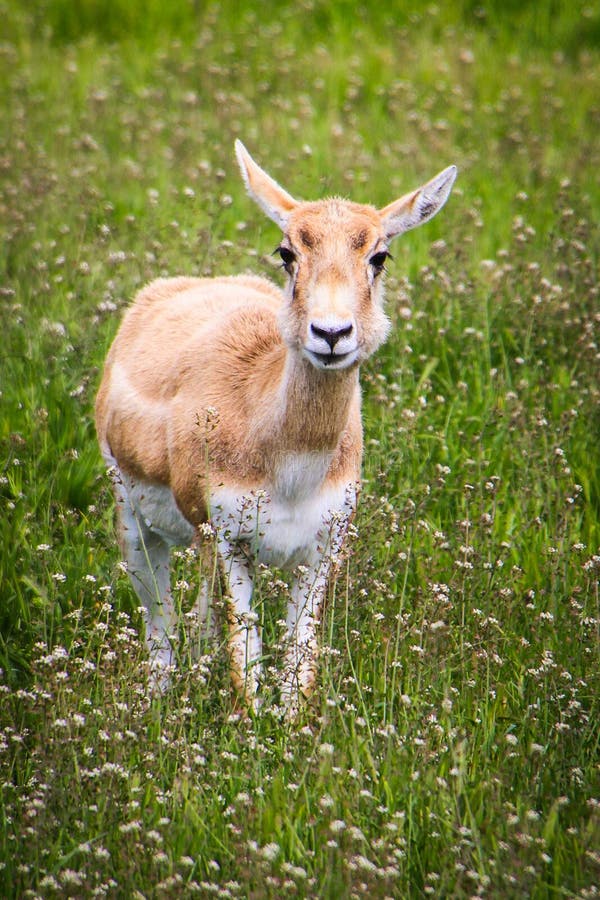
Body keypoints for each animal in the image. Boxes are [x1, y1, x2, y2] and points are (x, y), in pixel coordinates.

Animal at [95, 140, 456, 714]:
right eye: (287, 252)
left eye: (379, 255)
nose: (331, 333)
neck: (289, 468)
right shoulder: (228, 538)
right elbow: (245, 662)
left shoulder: (323, 547)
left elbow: (298, 669)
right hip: (134, 521)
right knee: (161, 625)